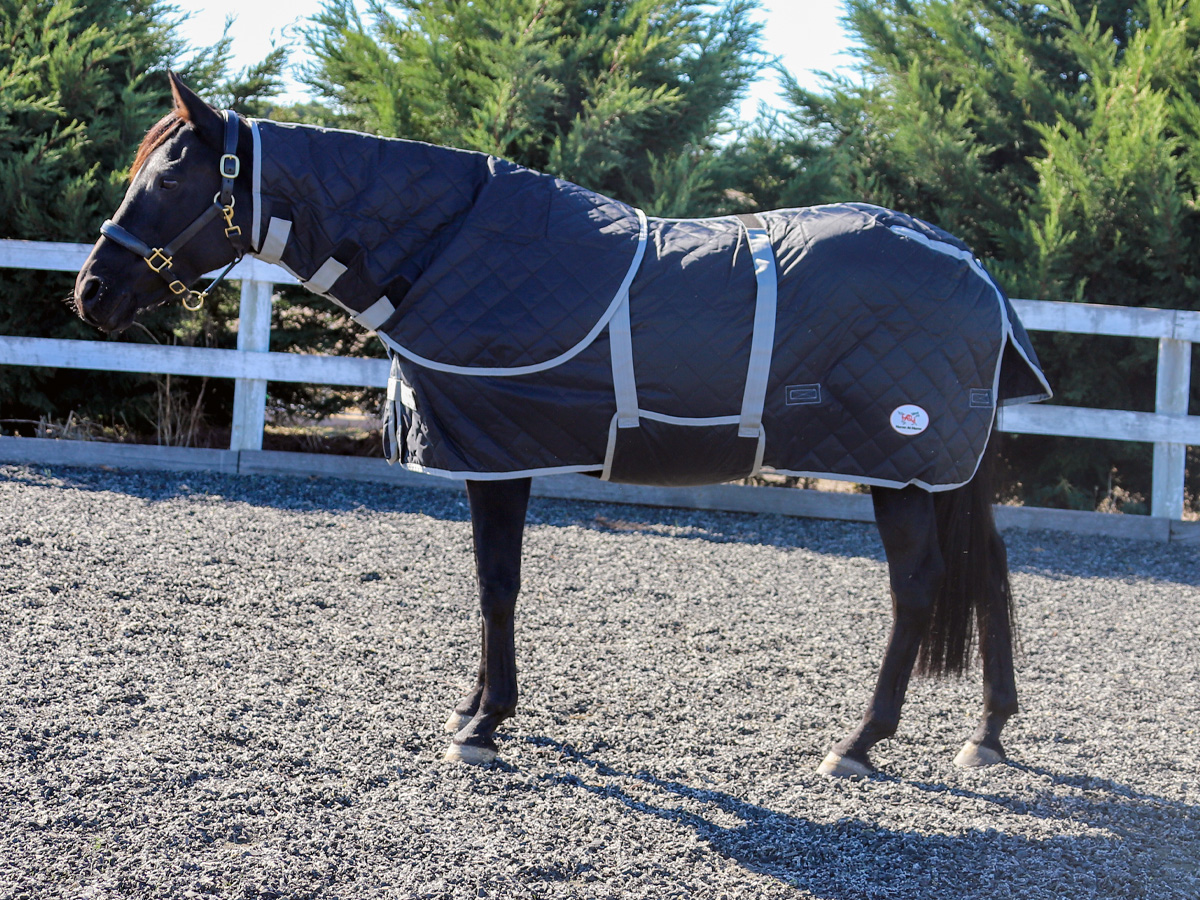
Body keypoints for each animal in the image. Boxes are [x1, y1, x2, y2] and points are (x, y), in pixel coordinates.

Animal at [74, 73, 1051, 775]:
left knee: (918, 586)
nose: (91, 291)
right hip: (933, 470)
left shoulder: (497, 454)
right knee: (987, 575)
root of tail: (974, 270)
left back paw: (859, 742)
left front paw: (485, 724)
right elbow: (489, 586)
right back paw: (988, 733)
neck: (445, 247)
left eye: (170, 176)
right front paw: (474, 709)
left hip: (901, 461)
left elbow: (497, 585)